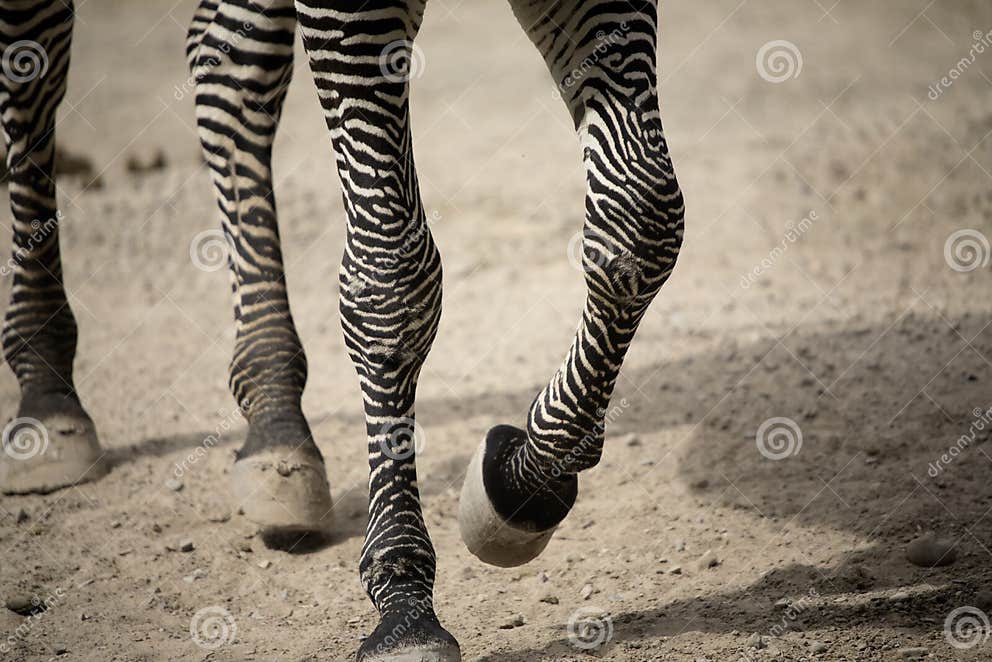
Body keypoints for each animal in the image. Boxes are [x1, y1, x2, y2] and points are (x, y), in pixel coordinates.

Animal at [0, 0, 684, 659]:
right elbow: (391, 272)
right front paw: (405, 606)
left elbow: (643, 219)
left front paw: (521, 482)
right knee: (35, 66)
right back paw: (47, 390)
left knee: (229, 59)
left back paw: (276, 424)